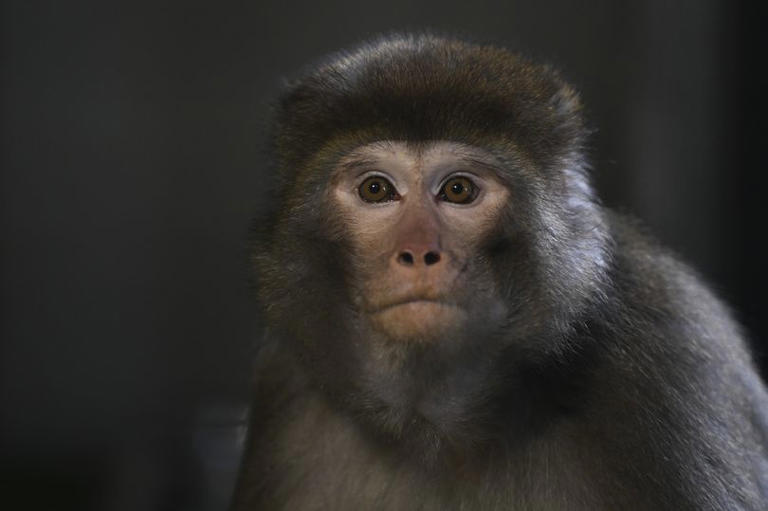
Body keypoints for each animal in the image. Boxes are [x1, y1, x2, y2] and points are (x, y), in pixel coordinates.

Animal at [230, 33, 768, 510]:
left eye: (459, 190)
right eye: (376, 190)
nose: (418, 252)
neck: (438, 428)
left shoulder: (675, 357)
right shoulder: (287, 389)